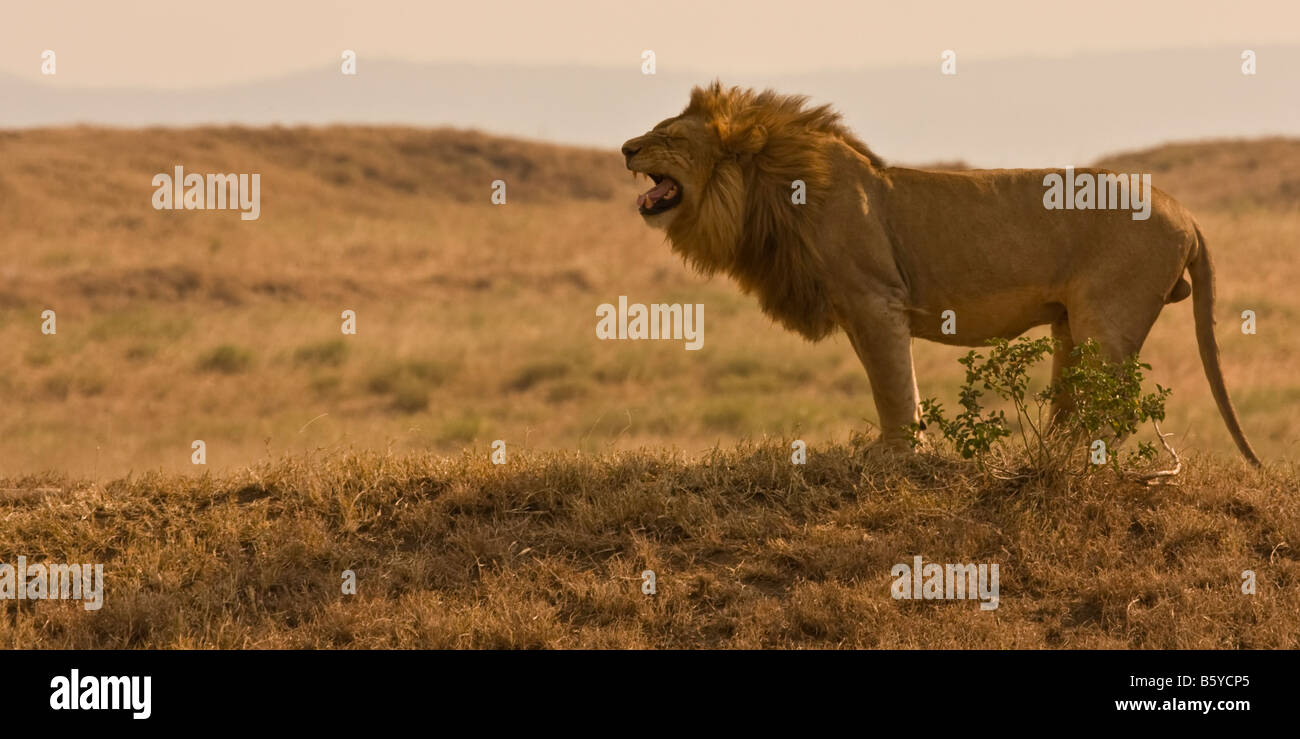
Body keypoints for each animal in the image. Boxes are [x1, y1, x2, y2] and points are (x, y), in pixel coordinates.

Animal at [621, 82, 1261, 465]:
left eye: (670, 137)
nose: (627, 147)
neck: (770, 192)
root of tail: (1186, 212)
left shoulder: (875, 300)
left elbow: (891, 384)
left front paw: (896, 455)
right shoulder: (860, 309)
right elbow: (893, 384)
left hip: (1109, 317)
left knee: (1113, 408)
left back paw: (1070, 462)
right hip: (1070, 325)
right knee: (1075, 401)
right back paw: (1043, 455)